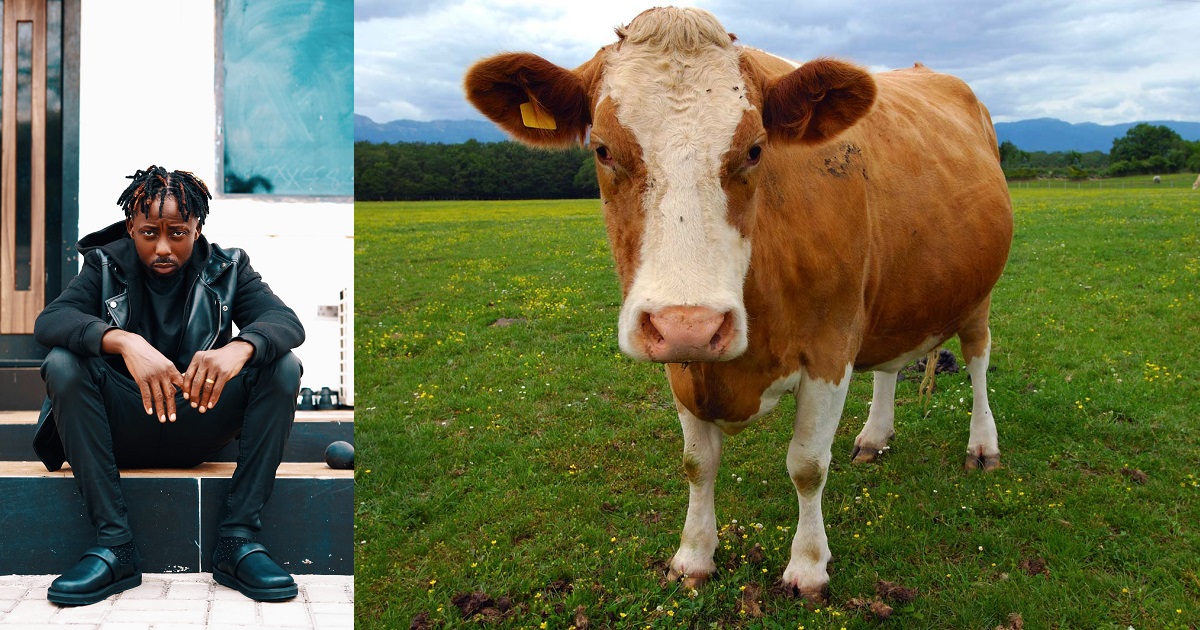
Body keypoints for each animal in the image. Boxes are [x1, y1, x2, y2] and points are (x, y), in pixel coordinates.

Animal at [465, 7, 1013, 602]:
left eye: (754, 149)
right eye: (603, 149)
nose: (691, 325)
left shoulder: (830, 346)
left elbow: (807, 465)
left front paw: (808, 566)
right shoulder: (684, 362)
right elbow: (697, 463)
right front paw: (693, 555)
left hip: (977, 294)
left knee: (979, 359)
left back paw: (983, 446)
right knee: (890, 365)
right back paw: (874, 437)